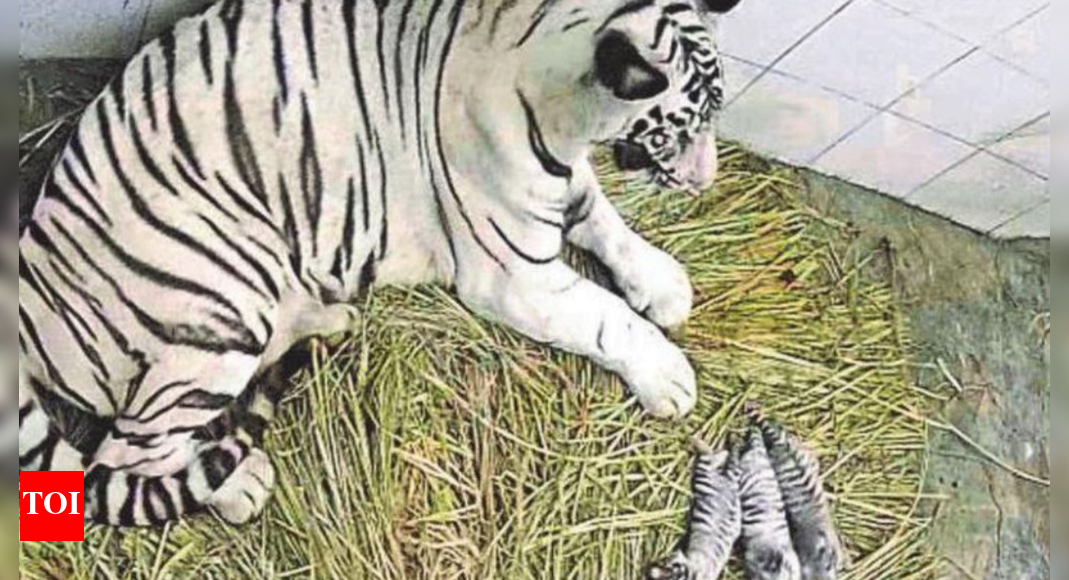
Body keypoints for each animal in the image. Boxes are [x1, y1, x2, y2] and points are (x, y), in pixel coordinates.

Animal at [17, 0, 747, 528]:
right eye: (678, 128)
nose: (706, 181)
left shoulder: (567, 191)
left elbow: (606, 221)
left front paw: (663, 283)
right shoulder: (516, 275)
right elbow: (607, 317)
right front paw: (668, 376)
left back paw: (330, 320)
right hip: (219, 297)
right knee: (123, 455)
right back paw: (239, 486)